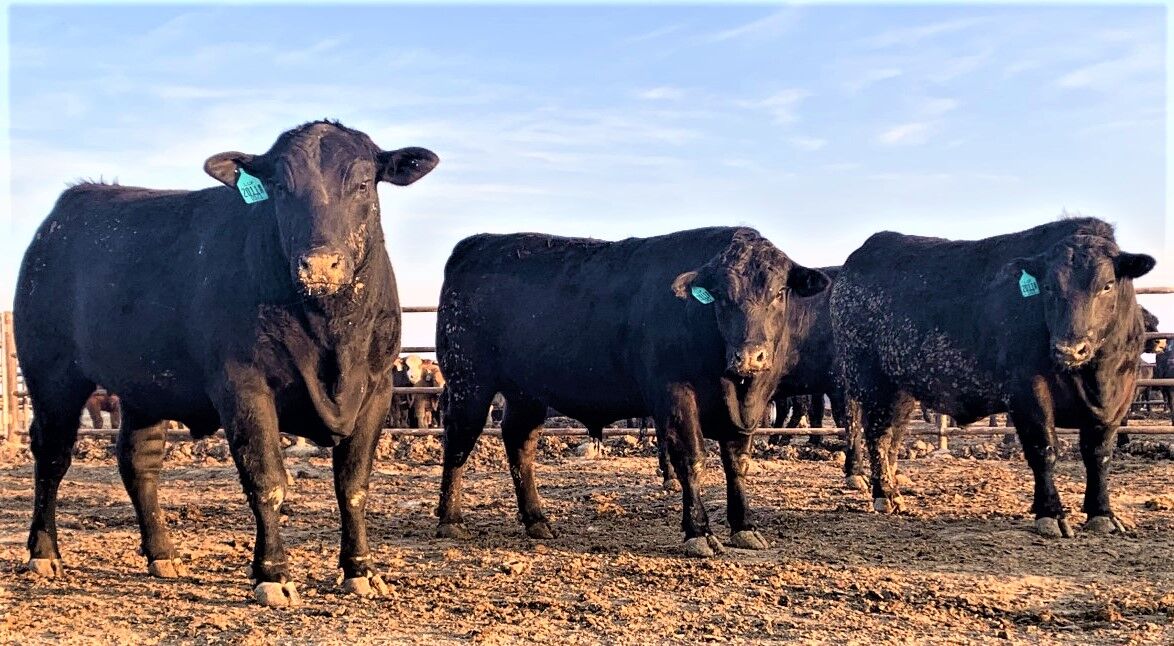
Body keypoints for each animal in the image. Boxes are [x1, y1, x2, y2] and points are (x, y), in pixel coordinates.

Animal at [14, 120, 438, 606]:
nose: (319, 265)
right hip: (53, 376)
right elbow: (267, 480)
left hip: (145, 388)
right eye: (280, 187)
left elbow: (353, 485)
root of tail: (70, 206)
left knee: (139, 461)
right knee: (52, 455)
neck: (330, 334)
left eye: (364, 182)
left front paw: (361, 570)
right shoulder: (244, 387)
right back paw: (44, 552)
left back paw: (162, 554)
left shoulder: (377, 389)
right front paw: (273, 575)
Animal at [433, 227, 829, 557]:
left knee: (519, 445)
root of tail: (476, 245)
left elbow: (737, 463)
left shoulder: (747, 408)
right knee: (459, 441)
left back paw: (537, 521)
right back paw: (450, 520)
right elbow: (691, 459)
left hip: (525, 394)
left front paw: (744, 527)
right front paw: (699, 533)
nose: (750, 356)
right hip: (469, 383)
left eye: (779, 292)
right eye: (721, 296)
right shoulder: (674, 395)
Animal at [830, 217, 1154, 538]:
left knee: (893, 436)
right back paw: (884, 493)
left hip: (901, 390)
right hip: (872, 381)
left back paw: (893, 489)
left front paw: (1102, 513)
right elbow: (1044, 449)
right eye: (1048, 287)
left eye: (1107, 285)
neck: (1094, 376)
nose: (1068, 348)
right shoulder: (1028, 393)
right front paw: (1050, 514)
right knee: (878, 435)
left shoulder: (1117, 400)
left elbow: (1099, 455)